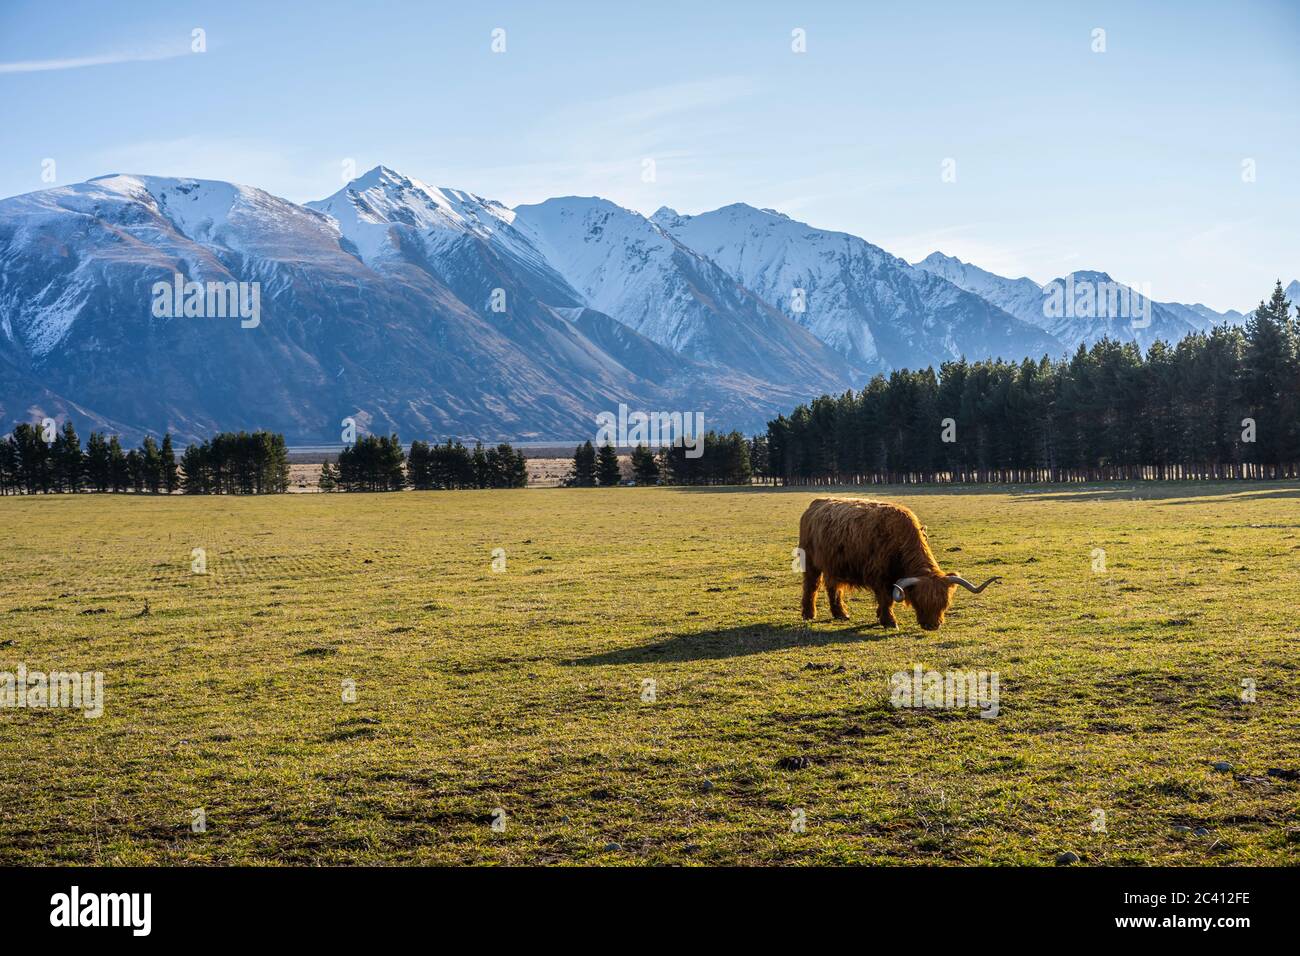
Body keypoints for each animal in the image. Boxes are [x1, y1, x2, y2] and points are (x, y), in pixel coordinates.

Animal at [798, 497, 999, 630]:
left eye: (945, 603)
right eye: (919, 601)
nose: (932, 626)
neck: (900, 542)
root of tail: (816, 503)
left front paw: (881, 616)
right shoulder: (880, 578)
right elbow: (887, 599)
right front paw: (889, 621)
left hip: (833, 566)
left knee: (833, 587)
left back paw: (841, 614)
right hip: (810, 562)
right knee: (811, 586)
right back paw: (809, 614)